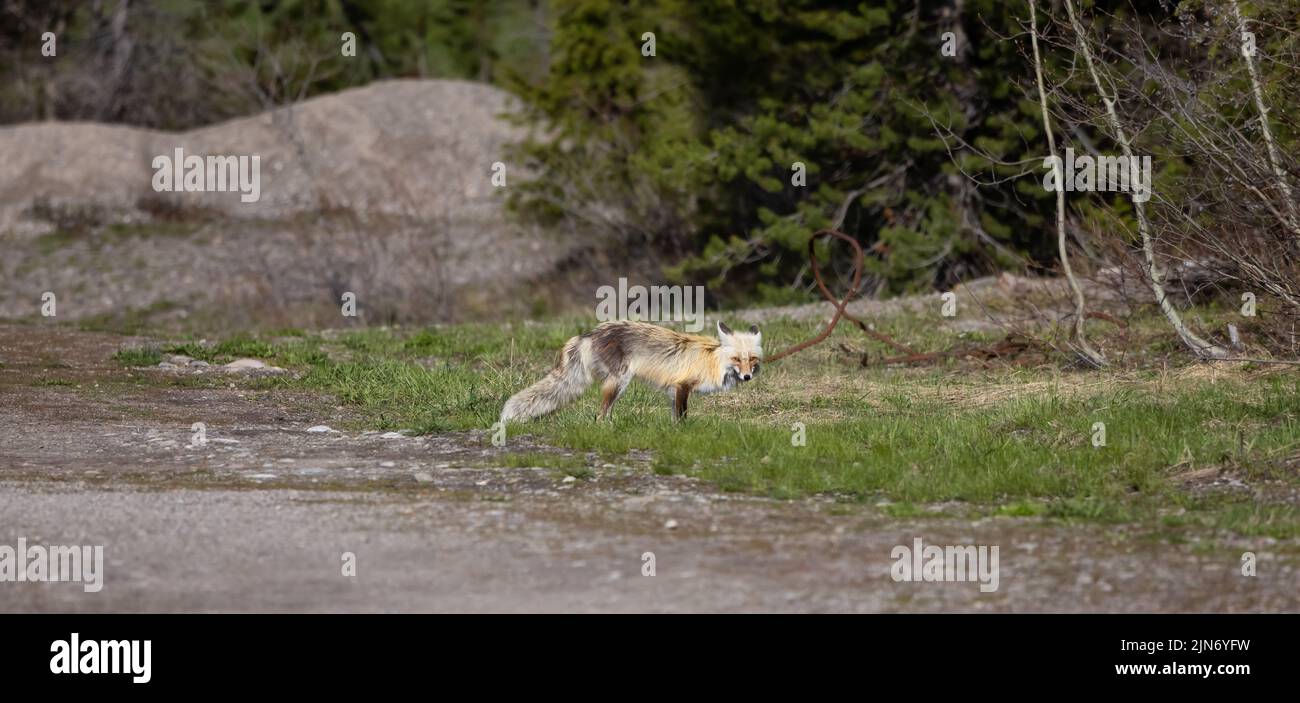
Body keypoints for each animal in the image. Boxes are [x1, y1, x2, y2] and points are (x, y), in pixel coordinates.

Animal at [500, 320, 762, 423]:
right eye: (737, 359)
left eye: (752, 359)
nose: (747, 376)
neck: (713, 361)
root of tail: (590, 333)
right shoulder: (682, 385)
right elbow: (683, 416)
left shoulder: (672, 390)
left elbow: (674, 416)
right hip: (620, 381)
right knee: (600, 414)